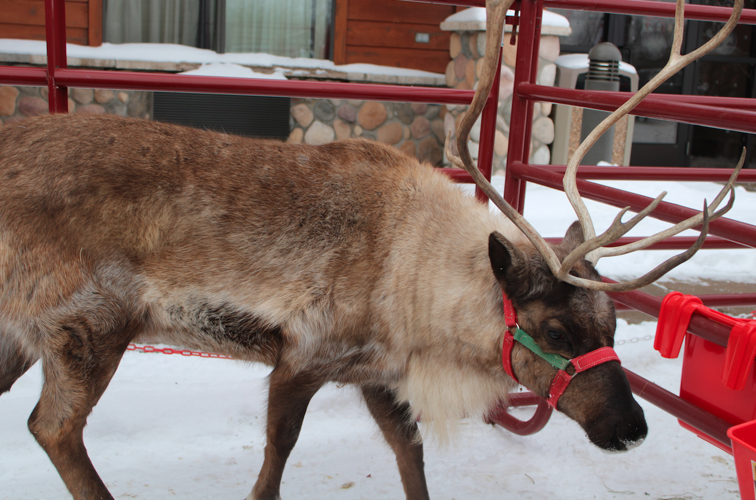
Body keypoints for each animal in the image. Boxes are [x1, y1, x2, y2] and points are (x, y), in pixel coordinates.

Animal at [0, 0, 745, 498]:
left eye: (613, 324)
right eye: (556, 330)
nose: (632, 427)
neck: (416, 283)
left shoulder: (378, 375)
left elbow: (410, 456)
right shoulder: (302, 357)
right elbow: (275, 463)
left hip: (23, 331)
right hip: (88, 324)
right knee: (53, 428)